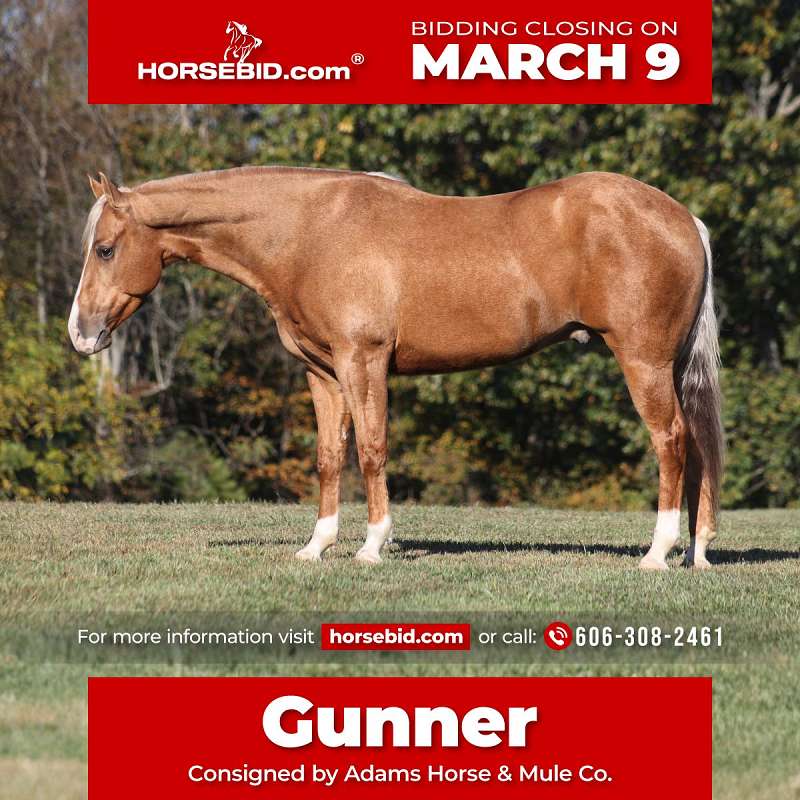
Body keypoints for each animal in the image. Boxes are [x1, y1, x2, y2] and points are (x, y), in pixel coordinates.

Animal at [69, 167, 723, 570]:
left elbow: (371, 450)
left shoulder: (364, 360)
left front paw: (371, 547)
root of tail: (684, 219)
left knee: (671, 440)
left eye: (106, 249)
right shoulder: (324, 373)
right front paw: (317, 546)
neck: (309, 232)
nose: (81, 333)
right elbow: (329, 458)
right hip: (671, 366)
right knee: (699, 446)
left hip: (642, 360)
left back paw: (658, 553)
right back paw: (697, 552)